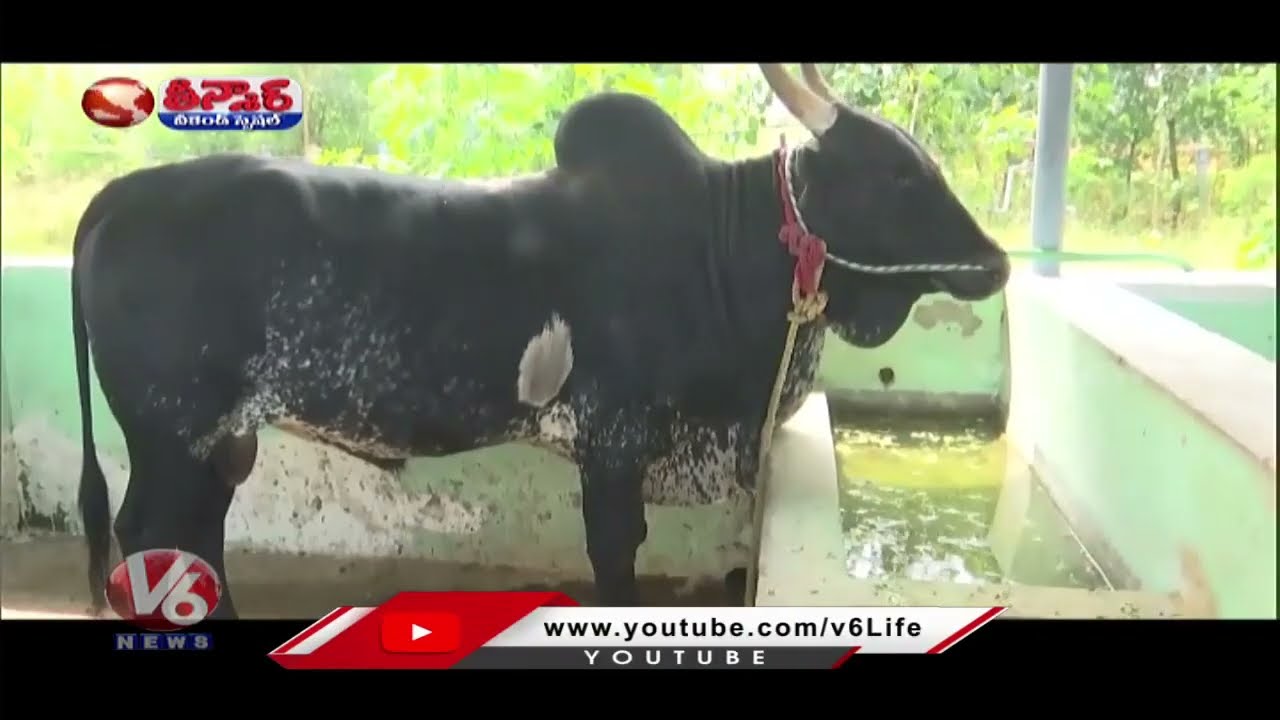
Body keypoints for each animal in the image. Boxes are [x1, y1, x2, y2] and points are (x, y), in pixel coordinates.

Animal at [72, 63, 1010, 617]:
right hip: (170, 433)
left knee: (196, 532)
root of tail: (119, 195)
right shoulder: (615, 444)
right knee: (148, 527)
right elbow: (615, 560)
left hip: (221, 440)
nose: (996, 262)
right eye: (899, 175)